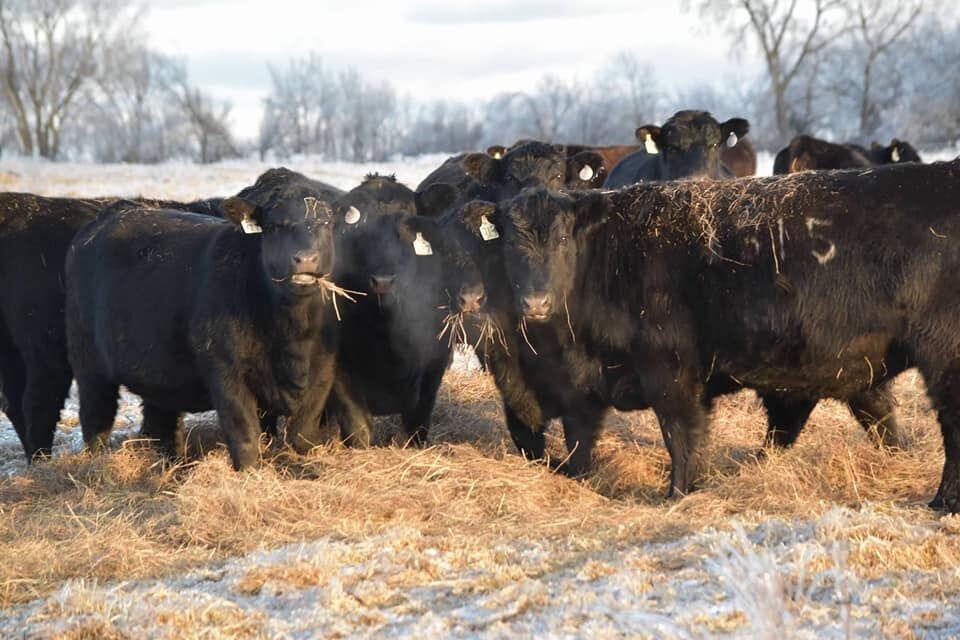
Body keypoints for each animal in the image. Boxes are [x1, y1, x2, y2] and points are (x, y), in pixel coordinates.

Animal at [65, 185, 342, 469]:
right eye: (275, 226)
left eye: (326, 224)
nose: (306, 259)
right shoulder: (226, 372)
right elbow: (245, 436)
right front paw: (250, 473)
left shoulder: (323, 372)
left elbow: (303, 434)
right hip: (89, 365)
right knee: (96, 417)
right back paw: (97, 462)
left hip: (158, 371)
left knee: (161, 423)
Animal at [493, 161, 960, 511]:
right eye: (511, 246)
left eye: (561, 239)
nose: (535, 302)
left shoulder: (671, 372)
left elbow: (681, 436)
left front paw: (678, 496)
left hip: (944, 357)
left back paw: (943, 502)